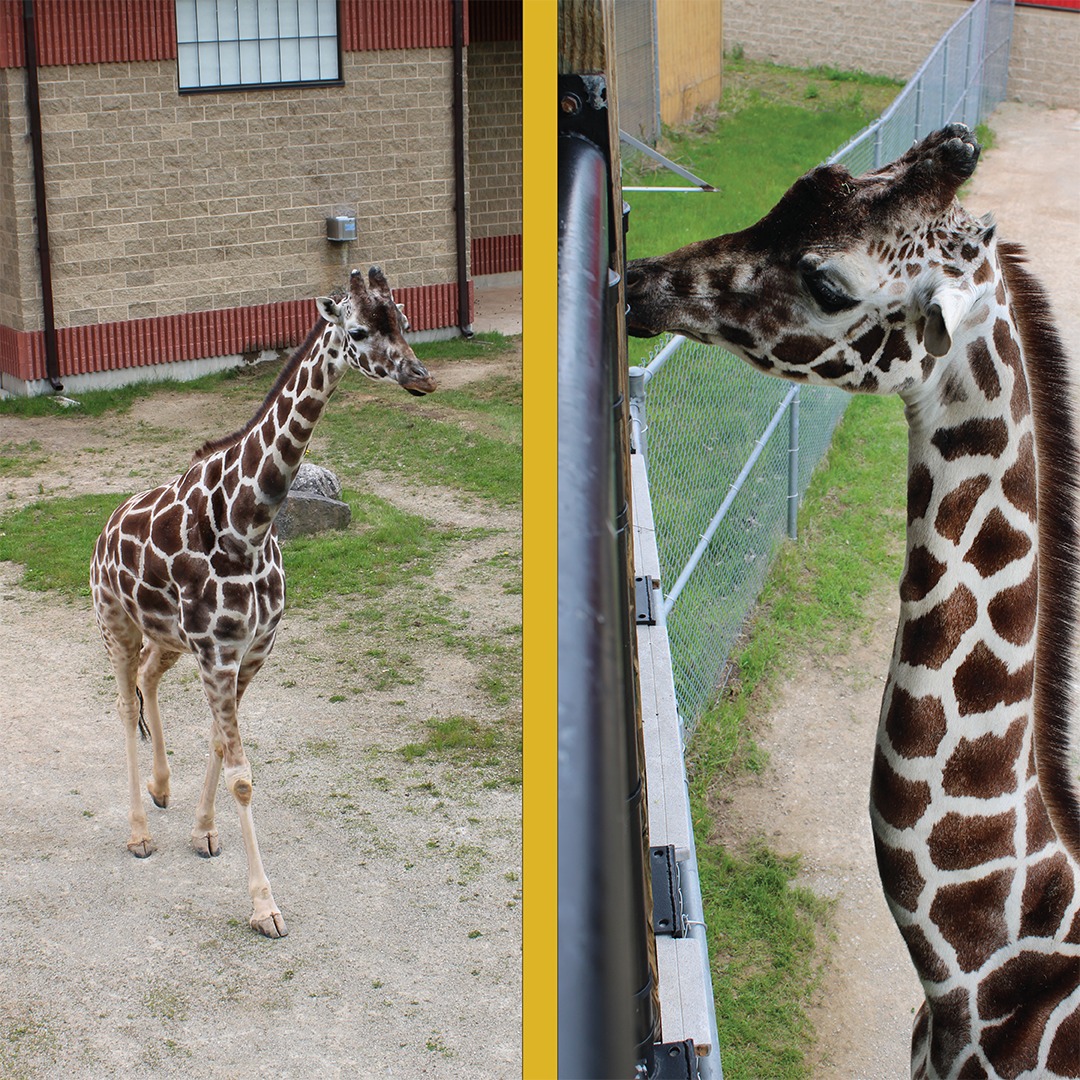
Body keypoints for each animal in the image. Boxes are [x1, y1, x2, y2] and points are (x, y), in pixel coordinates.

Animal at [89, 266, 434, 938]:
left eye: (404, 320)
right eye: (358, 330)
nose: (420, 376)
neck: (247, 521)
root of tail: (106, 527)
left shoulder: (251, 650)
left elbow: (221, 747)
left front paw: (202, 832)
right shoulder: (219, 653)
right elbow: (243, 775)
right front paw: (264, 907)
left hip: (167, 638)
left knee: (148, 678)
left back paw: (162, 790)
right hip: (116, 623)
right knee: (120, 702)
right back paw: (139, 832)